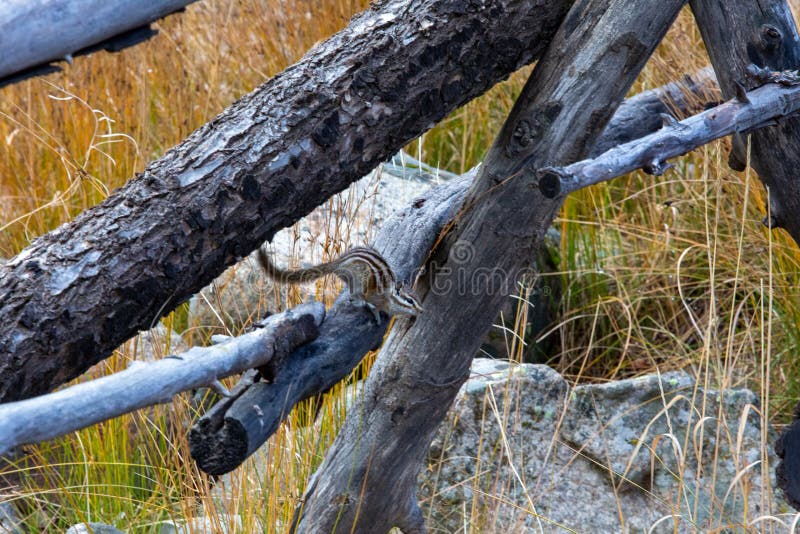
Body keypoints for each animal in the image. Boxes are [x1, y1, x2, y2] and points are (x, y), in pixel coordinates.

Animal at [257, 246, 422, 322]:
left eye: (417, 299)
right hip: (358, 278)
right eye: (409, 301)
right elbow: (372, 304)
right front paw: (375, 312)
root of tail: (339, 262)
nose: (422, 311)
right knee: (354, 293)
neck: (389, 296)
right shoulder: (373, 295)